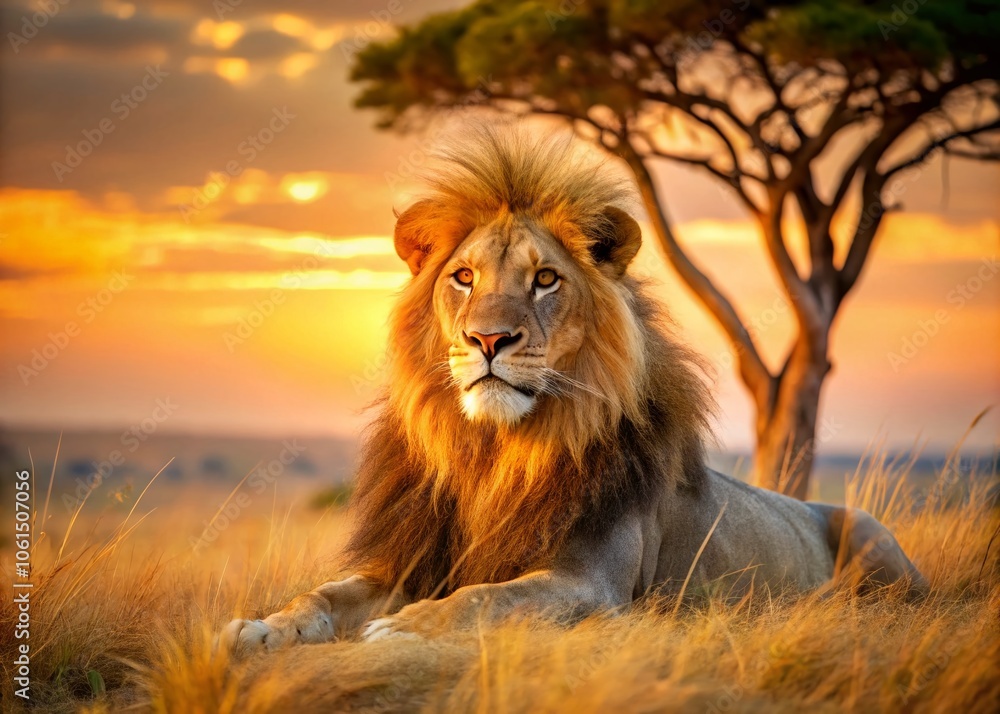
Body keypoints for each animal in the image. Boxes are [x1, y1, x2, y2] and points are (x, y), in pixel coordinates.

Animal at [222, 123, 926, 656]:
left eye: (545, 280)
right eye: (464, 277)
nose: (489, 339)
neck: (495, 457)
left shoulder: (593, 585)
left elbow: (489, 597)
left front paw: (405, 628)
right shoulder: (415, 560)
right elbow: (324, 593)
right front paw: (262, 628)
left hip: (871, 535)